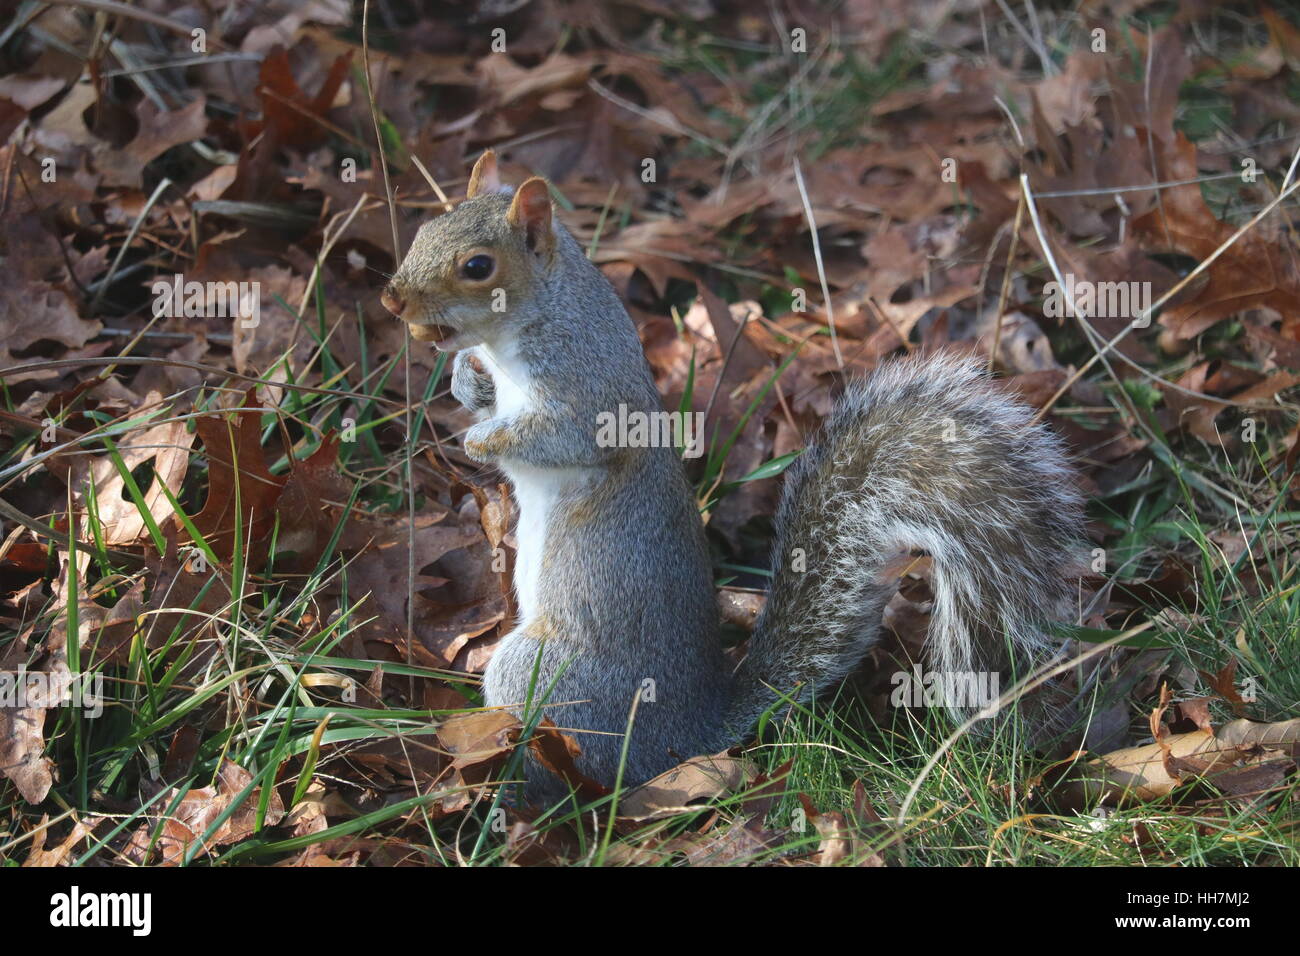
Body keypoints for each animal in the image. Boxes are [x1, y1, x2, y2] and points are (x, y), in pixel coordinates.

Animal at [382, 150, 1085, 805]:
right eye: (425, 227)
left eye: (478, 266)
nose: (392, 299)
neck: (535, 320)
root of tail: (689, 736)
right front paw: (465, 383)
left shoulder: (590, 393)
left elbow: (563, 439)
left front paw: (478, 439)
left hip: (546, 673)